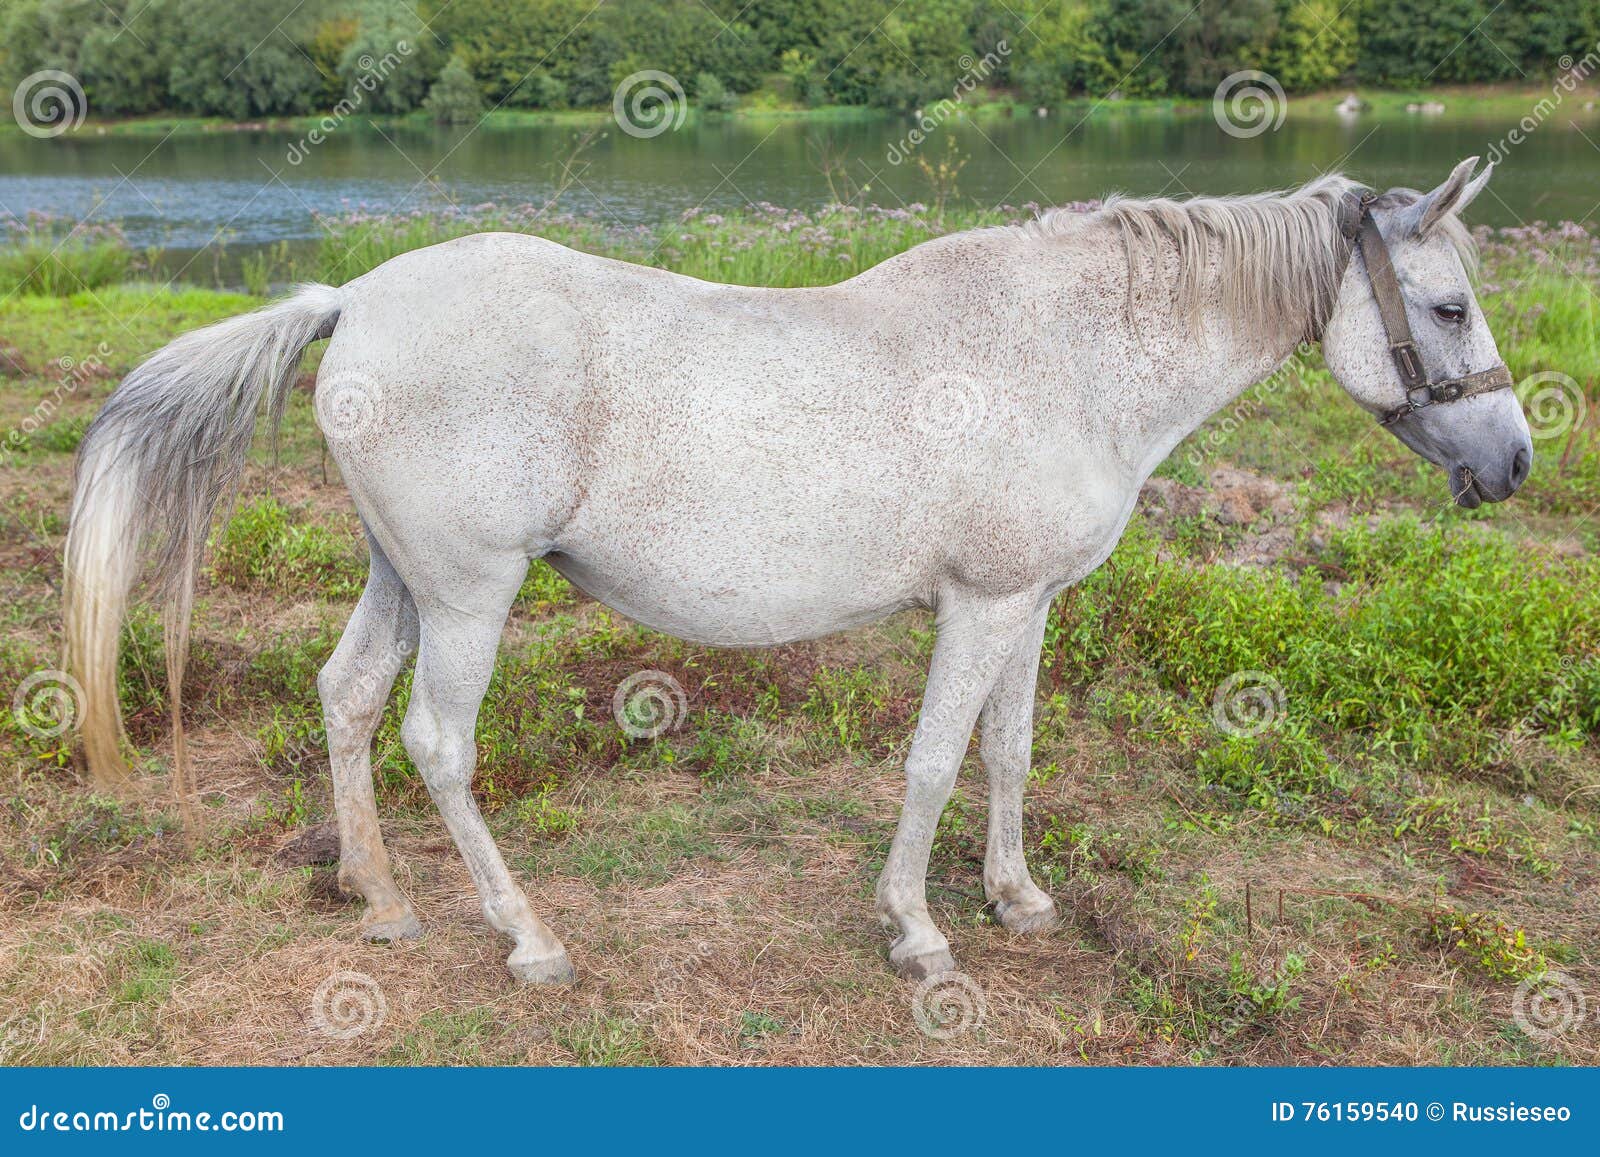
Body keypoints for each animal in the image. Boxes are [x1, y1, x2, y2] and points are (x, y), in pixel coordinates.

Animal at [64, 158, 1531, 984]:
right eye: (1449, 306)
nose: (1515, 460)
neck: (1067, 353)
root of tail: (355, 299)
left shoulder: (1027, 608)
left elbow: (1009, 754)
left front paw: (1016, 896)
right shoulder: (979, 605)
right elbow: (933, 762)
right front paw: (917, 930)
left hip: (404, 581)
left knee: (348, 697)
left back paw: (381, 902)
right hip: (472, 596)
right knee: (436, 742)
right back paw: (527, 936)